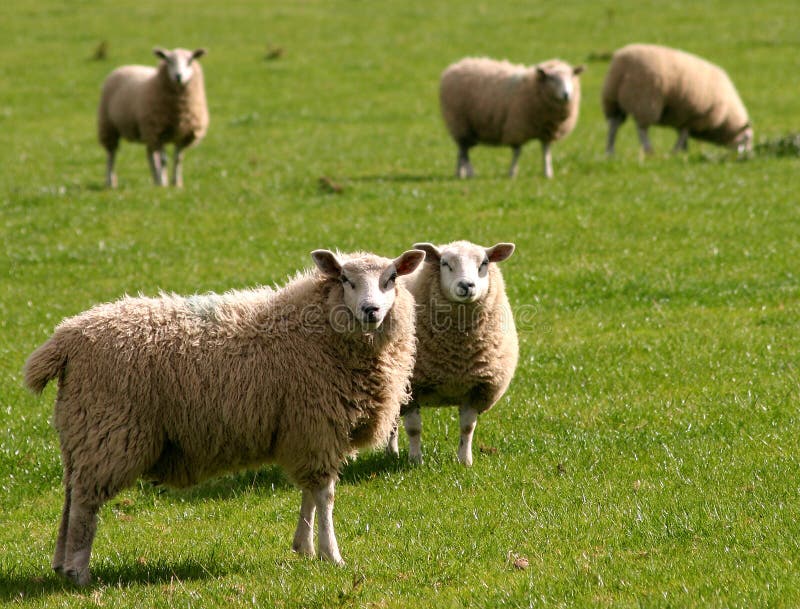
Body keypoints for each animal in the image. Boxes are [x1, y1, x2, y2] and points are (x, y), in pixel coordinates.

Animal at [23, 248, 425, 586]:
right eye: (345, 279)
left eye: (391, 278)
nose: (371, 310)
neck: (317, 329)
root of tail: (67, 338)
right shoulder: (317, 425)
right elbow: (325, 496)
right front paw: (332, 555)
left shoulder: (307, 432)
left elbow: (310, 493)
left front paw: (304, 547)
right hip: (108, 432)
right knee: (85, 504)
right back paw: (78, 573)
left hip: (82, 431)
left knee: (70, 498)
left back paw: (60, 565)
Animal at [97, 47, 209, 188]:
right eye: (168, 61)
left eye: (190, 61)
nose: (178, 76)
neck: (179, 109)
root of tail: (125, 66)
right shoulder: (158, 131)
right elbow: (163, 160)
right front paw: (164, 182)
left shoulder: (183, 135)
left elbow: (177, 159)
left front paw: (175, 183)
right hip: (109, 126)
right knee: (111, 154)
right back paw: (111, 181)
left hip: (146, 132)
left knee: (150, 155)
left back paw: (157, 180)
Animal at [387, 241, 518, 466]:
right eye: (445, 263)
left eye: (484, 263)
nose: (466, 285)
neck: (458, 354)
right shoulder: (412, 386)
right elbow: (414, 429)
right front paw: (415, 461)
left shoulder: (476, 388)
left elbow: (467, 427)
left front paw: (464, 461)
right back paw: (391, 452)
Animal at [439, 57, 585, 179]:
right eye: (552, 78)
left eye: (572, 76)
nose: (566, 94)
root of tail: (455, 66)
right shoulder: (517, 127)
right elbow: (517, 152)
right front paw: (512, 173)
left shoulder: (547, 131)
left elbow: (546, 152)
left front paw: (548, 173)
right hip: (459, 121)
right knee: (464, 151)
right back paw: (470, 173)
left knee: (461, 150)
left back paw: (460, 173)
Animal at [602, 43, 753, 156]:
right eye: (746, 139)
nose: (748, 156)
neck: (726, 116)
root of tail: (622, 63)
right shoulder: (693, 114)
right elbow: (683, 134)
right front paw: (677, 151)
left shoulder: (684, 115)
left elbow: (682, 133)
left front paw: (683, 151)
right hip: (643, 100)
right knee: (641, 129)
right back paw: (649, 150)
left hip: (612, 99)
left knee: (613, 125)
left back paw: (610, 151)